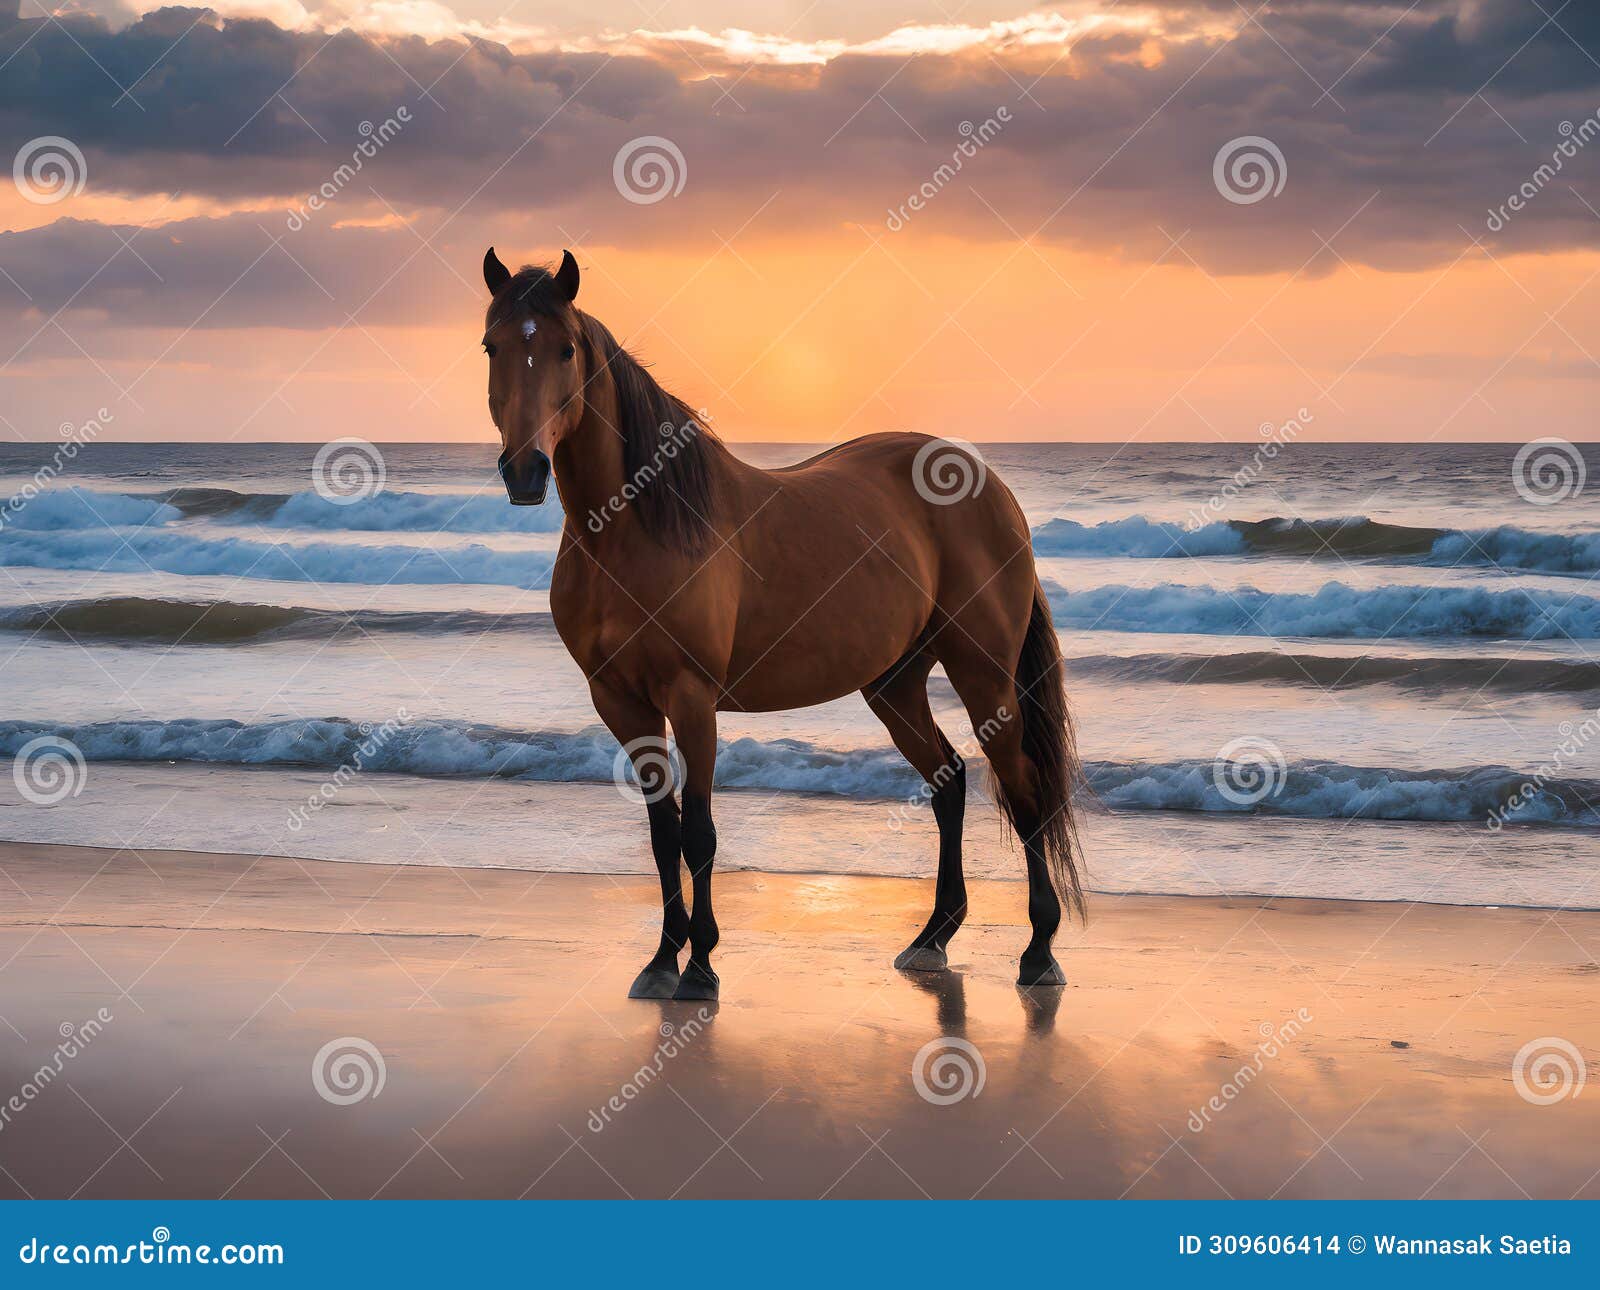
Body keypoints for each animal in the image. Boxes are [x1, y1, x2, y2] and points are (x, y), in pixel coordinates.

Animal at [481, 247, 1084, 1002]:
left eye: (565, 348)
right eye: (492, 346)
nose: (524, 469)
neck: (635, 527)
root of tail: (987, 483)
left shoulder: (691, 697)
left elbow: (699, 832)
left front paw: (701, 967)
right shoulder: (620, 701)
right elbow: (662, 833)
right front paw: (661, 959)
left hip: (985, 677)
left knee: (1026, 794)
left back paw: (1039, 952)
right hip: (896, 684)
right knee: (949, 784)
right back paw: (932, 939)